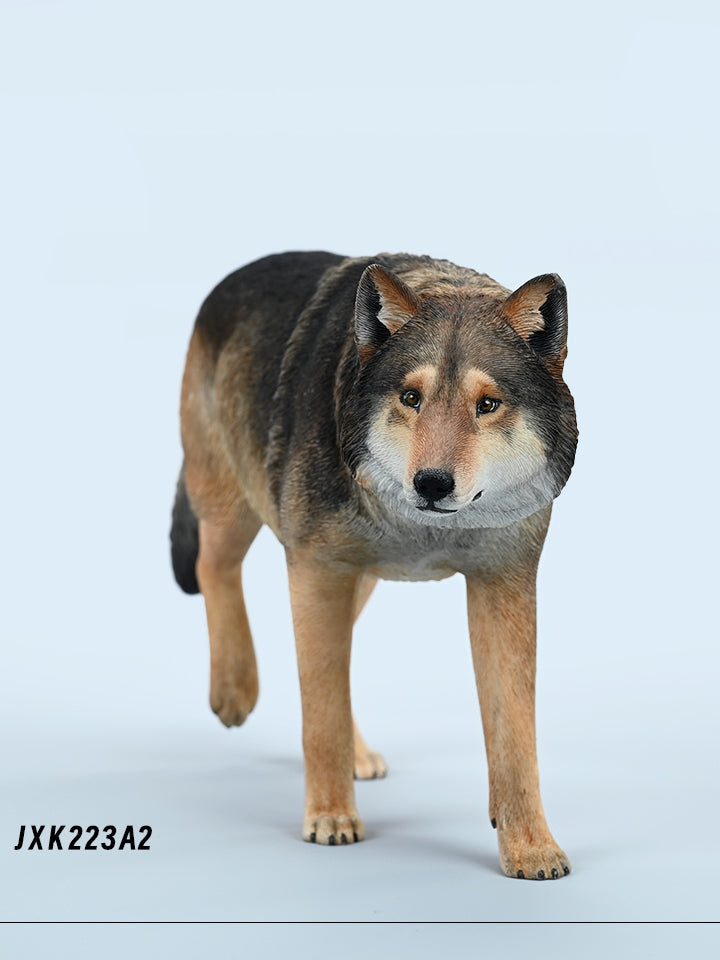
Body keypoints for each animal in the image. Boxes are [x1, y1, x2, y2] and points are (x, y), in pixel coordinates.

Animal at [171, 251, 578, 879]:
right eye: (411, 398)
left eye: (487, 405)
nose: (431, 484)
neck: (425, 530)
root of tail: (234, 276)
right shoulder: (316, 570)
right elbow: (322, 712)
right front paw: (331, 817)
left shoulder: (503, 585)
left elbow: (514, 738)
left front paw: (530, 848)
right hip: (239, 508)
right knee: (216, 568)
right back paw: (234, 690)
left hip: (355, 579)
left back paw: (357, 753)